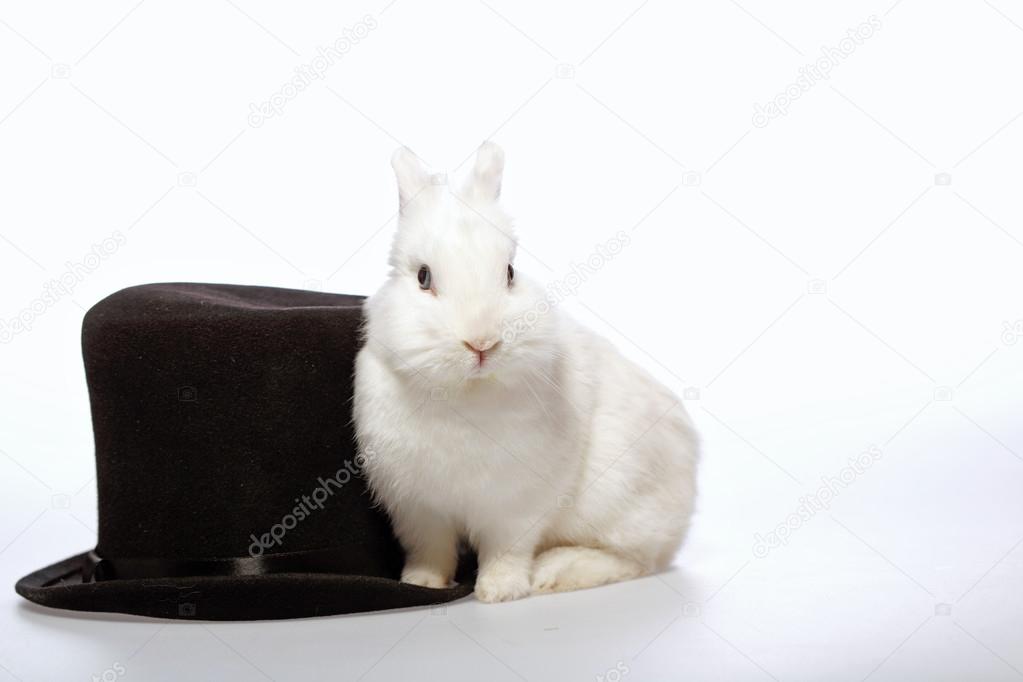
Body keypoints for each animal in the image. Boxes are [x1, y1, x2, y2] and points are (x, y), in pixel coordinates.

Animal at [353, 142, 699, 602]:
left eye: (510, 273)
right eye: (423, 277)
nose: (481, 343)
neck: (466, 395)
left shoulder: (517, 507)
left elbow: (507, 549)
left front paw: (500, 592)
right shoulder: (419, 509)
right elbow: (430, 550)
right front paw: (421, 582)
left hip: (623, 501)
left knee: (637, 560)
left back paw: (557, 572)